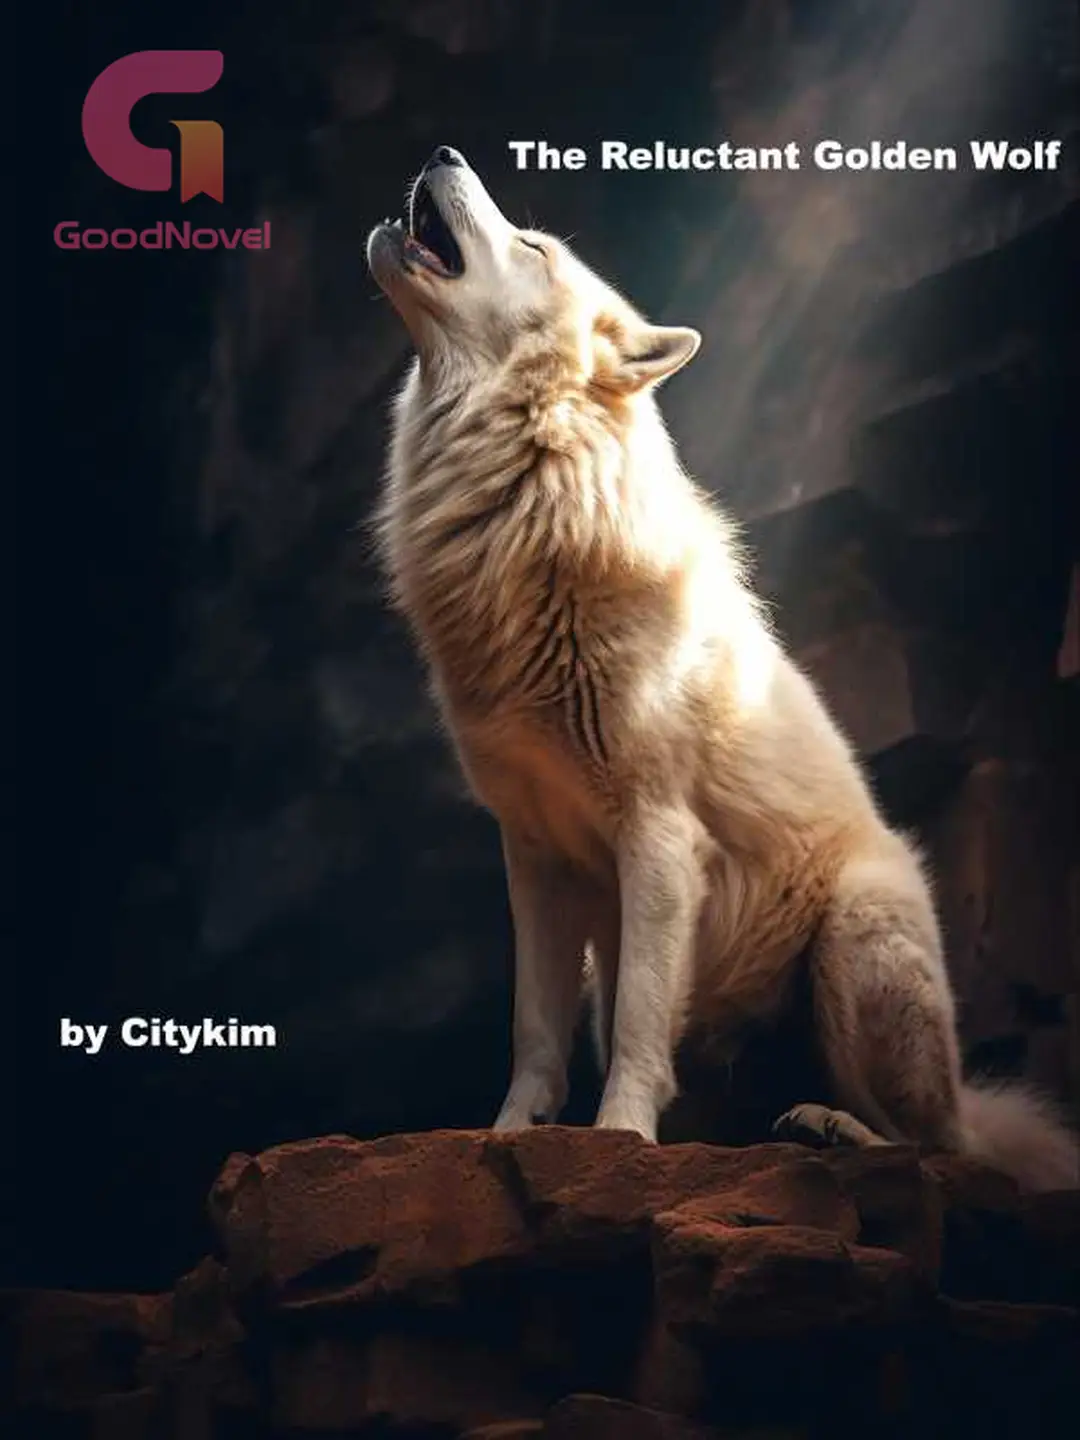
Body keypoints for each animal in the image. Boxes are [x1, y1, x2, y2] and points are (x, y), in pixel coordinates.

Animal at [366, 145, 1078, 1192]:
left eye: (533, 245)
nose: (445, 152)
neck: (533, 509)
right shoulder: (534, 853)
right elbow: (533, 1032)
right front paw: (502, 1140)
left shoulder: (659, 837)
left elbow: (634, 1025)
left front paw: (620, 1139)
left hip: (857, 937)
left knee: (944, 1148)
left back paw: (834, 1129)